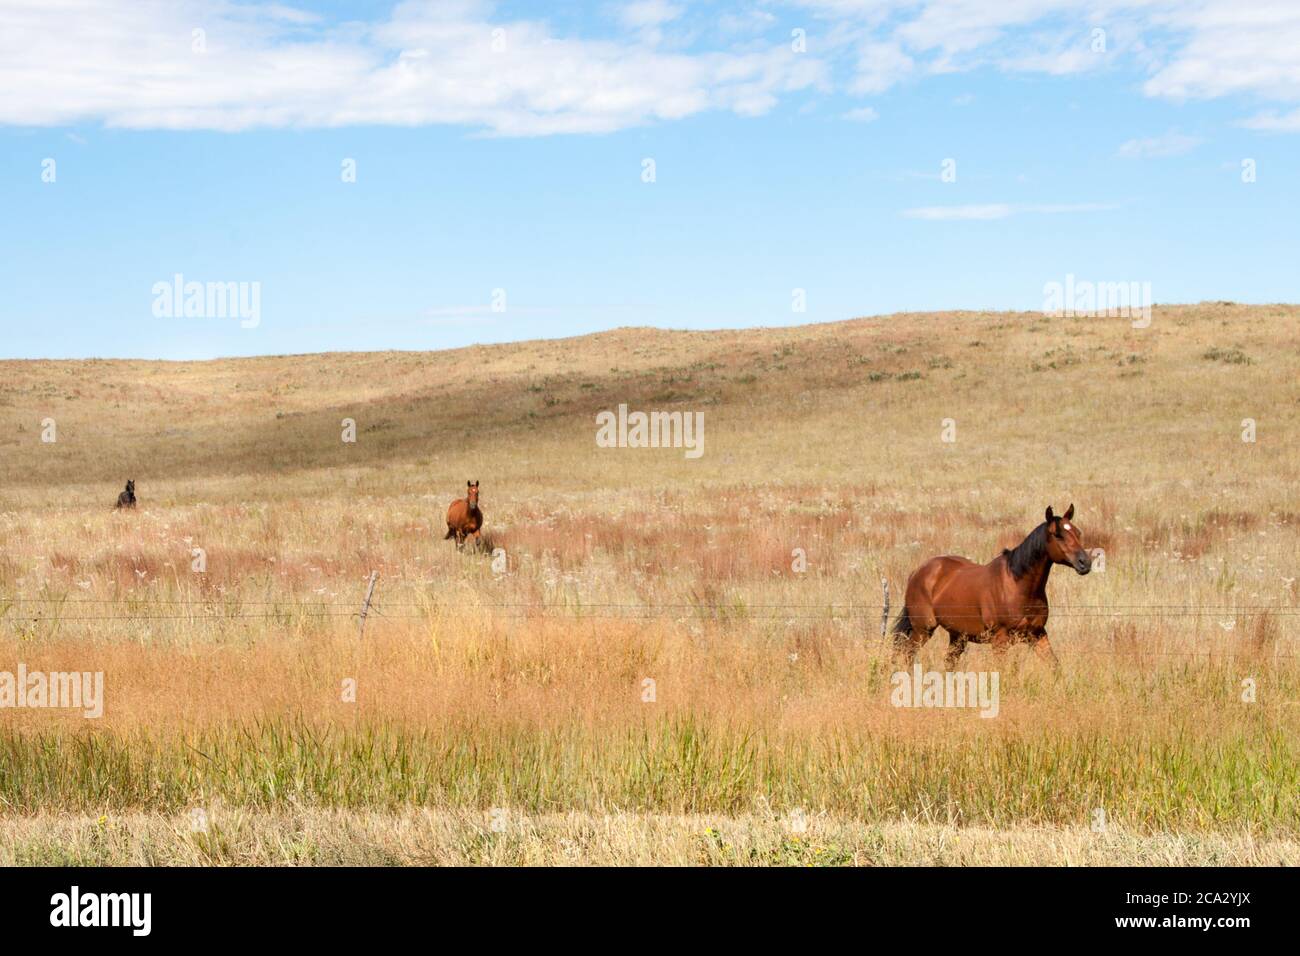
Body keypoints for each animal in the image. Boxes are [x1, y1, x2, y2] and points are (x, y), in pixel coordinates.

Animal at [891, 505, 1091, 671]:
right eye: (1057, 535)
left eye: (1078, 532)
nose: (1085, 563)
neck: (1019, 586)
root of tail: (918, 572)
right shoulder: (1000, 640)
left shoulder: (1038, 634)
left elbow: (1054, 666)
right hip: (923, 630)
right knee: (907, 654)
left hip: (957, 635)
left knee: (947, 662)